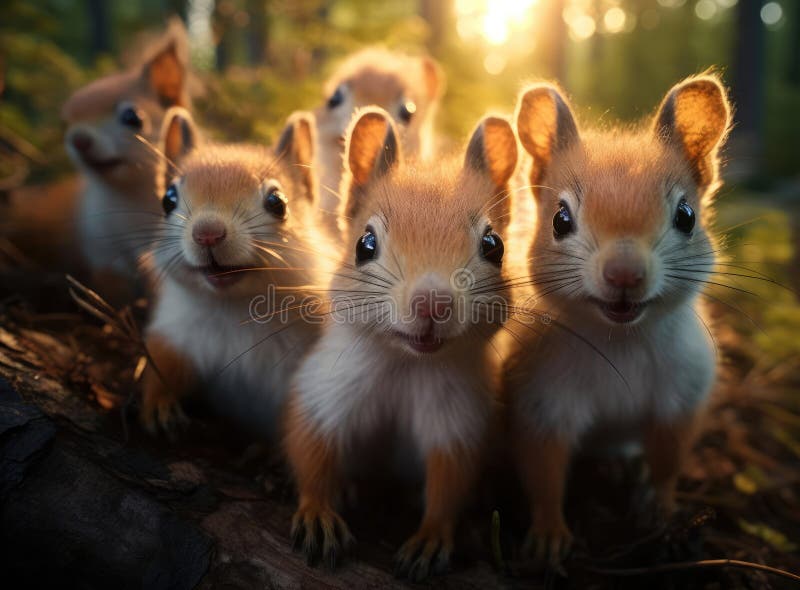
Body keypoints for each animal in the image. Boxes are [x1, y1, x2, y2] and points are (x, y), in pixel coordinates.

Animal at [139, 107, 330, 438]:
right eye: (168, 199)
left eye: (277, 202)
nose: (207, 233)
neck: (237, 309)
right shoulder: (175, 337)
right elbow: (163, 369)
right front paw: (159, 407)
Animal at [283, 106, 518, 581]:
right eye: (365, 243)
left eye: (494, 245)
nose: (433, 303)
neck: (406, 364)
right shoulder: (326, 388)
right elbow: (310, 447)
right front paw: (318, 515)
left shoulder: (457, 419)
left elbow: (450, 481)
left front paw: (431, 538)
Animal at [505, 75, 732, 567]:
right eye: (560, 219)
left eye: (686, 216)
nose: (624, 274)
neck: (620, 339)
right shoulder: (542, 402)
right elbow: (544, 470)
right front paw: (549, 535)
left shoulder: (679, 397)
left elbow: (667, 462)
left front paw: (661, 511)